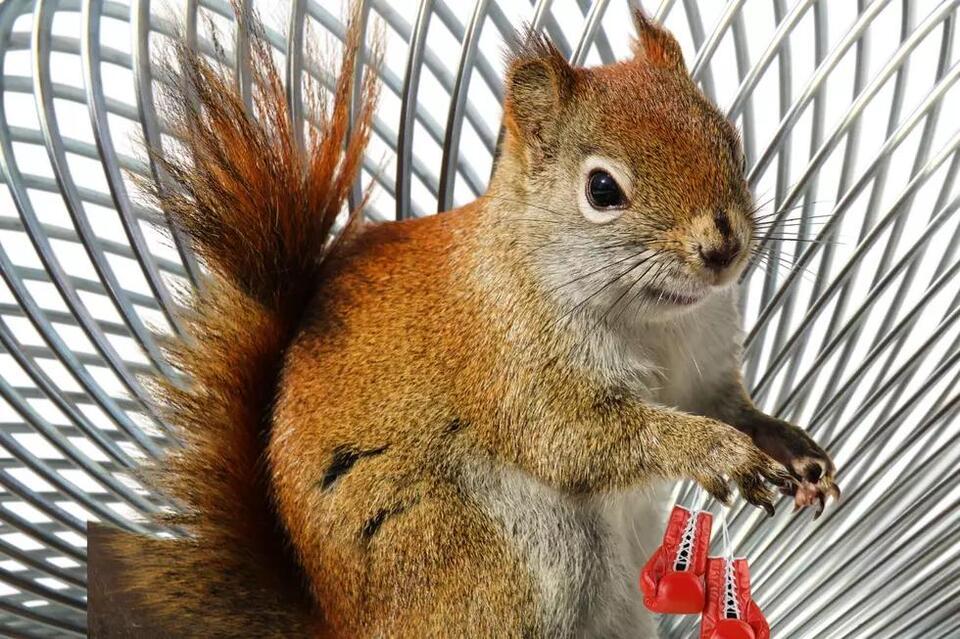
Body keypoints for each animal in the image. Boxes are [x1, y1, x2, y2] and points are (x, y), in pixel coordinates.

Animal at [108, 3, 840, 638]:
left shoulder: (703, 367)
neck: (656, 319)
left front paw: (790, 447)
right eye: (602, 189)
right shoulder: (513, 363)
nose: (722, 248)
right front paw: (717, 451)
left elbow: (728, 407)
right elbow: (579, 439)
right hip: (477, 560)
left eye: (730, 140)